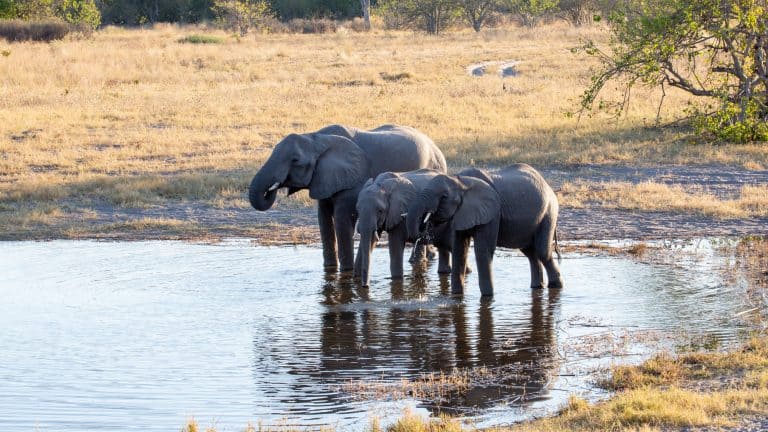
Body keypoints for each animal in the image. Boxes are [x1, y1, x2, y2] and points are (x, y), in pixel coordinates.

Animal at [248, 124, 447, 272]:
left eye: (295, 160)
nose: (273, 187)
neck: (316, 138)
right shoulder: (324, 178)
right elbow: (323, 219)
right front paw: (329, 269)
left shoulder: (353, 180)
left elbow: (342, 220)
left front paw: (346, 271)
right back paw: (428, 257)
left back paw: (418, 261)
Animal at [405, 164, 562, 296]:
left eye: (443, 197)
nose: (425, 227)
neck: (461, 181)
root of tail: (548, 186)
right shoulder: (462, 212)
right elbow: (459, 249)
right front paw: (456, 296)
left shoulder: (492, 213)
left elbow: (482, 250)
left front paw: (488, 297)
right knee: (530, 252)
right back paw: (537, 287)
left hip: (549, 212)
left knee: (542, 251)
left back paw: (556, 286)